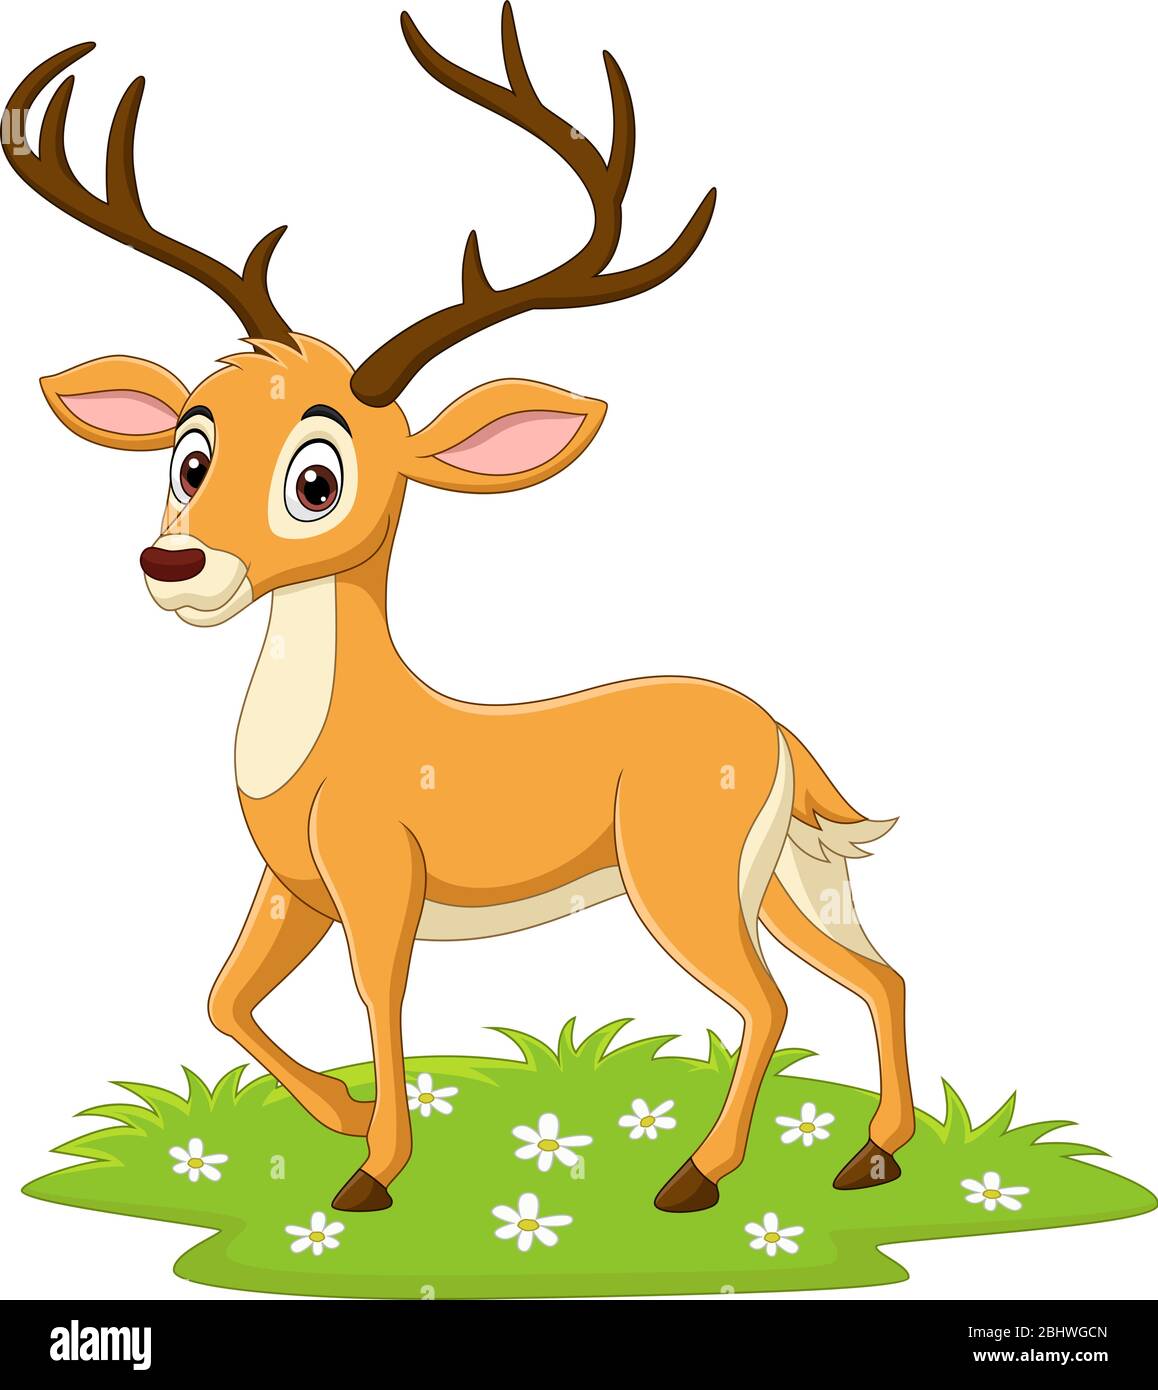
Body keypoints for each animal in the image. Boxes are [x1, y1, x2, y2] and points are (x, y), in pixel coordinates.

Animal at [5, 6, 914, 1215]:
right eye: (190, 453)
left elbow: (378, 997)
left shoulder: (378, 870)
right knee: (877, 971)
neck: (326, 745)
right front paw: (346, 1122)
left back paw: (695, 1177)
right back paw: (874, 1154)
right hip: (787, 877)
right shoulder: (291, 883)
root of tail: (776, 733)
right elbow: (224, 996)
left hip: (681, 875)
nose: (175, 561)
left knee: (768, 999)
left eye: (317, 478)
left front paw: (372, 1173)